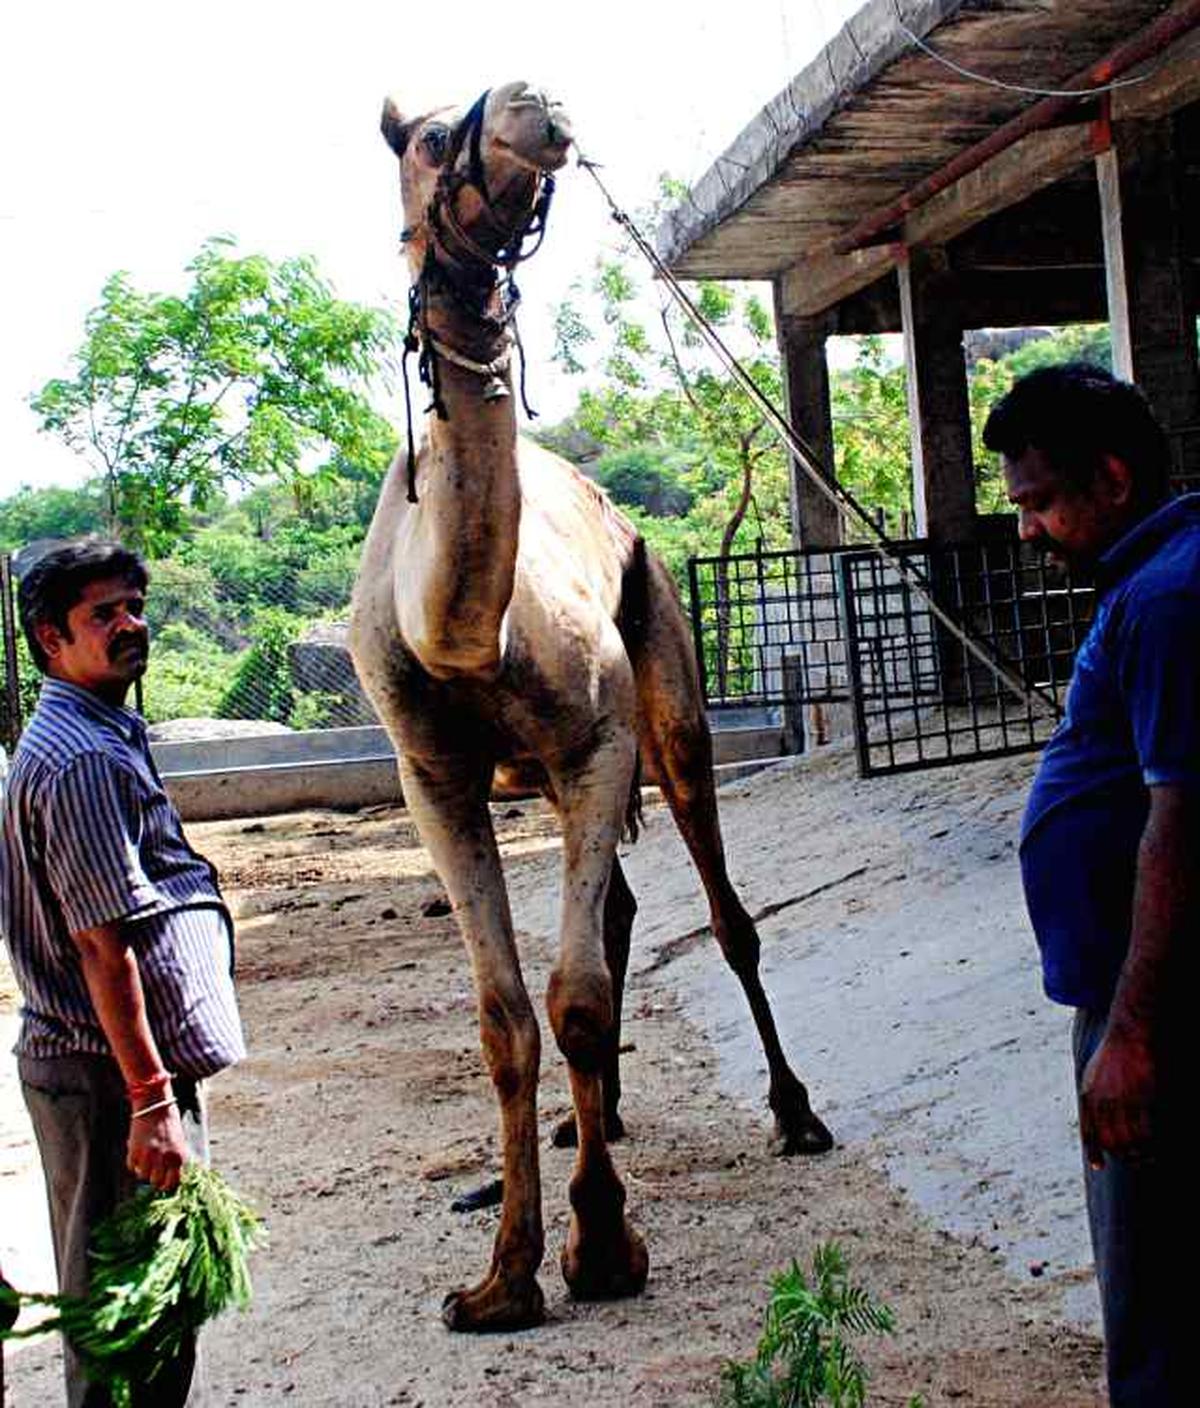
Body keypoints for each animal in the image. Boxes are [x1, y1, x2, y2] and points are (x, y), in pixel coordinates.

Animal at [349, 81, 833, 1333]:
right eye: (428, 137)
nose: (533, 106)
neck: (459, 623)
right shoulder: (433, 777)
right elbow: (506, 1015)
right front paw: (502, 1274)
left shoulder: (597, 738)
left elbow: (573, 997)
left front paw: (604, 1243)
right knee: (615, 909)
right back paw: (590, 1117)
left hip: (667, 689)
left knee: (722, 912)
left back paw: (792, 1110)